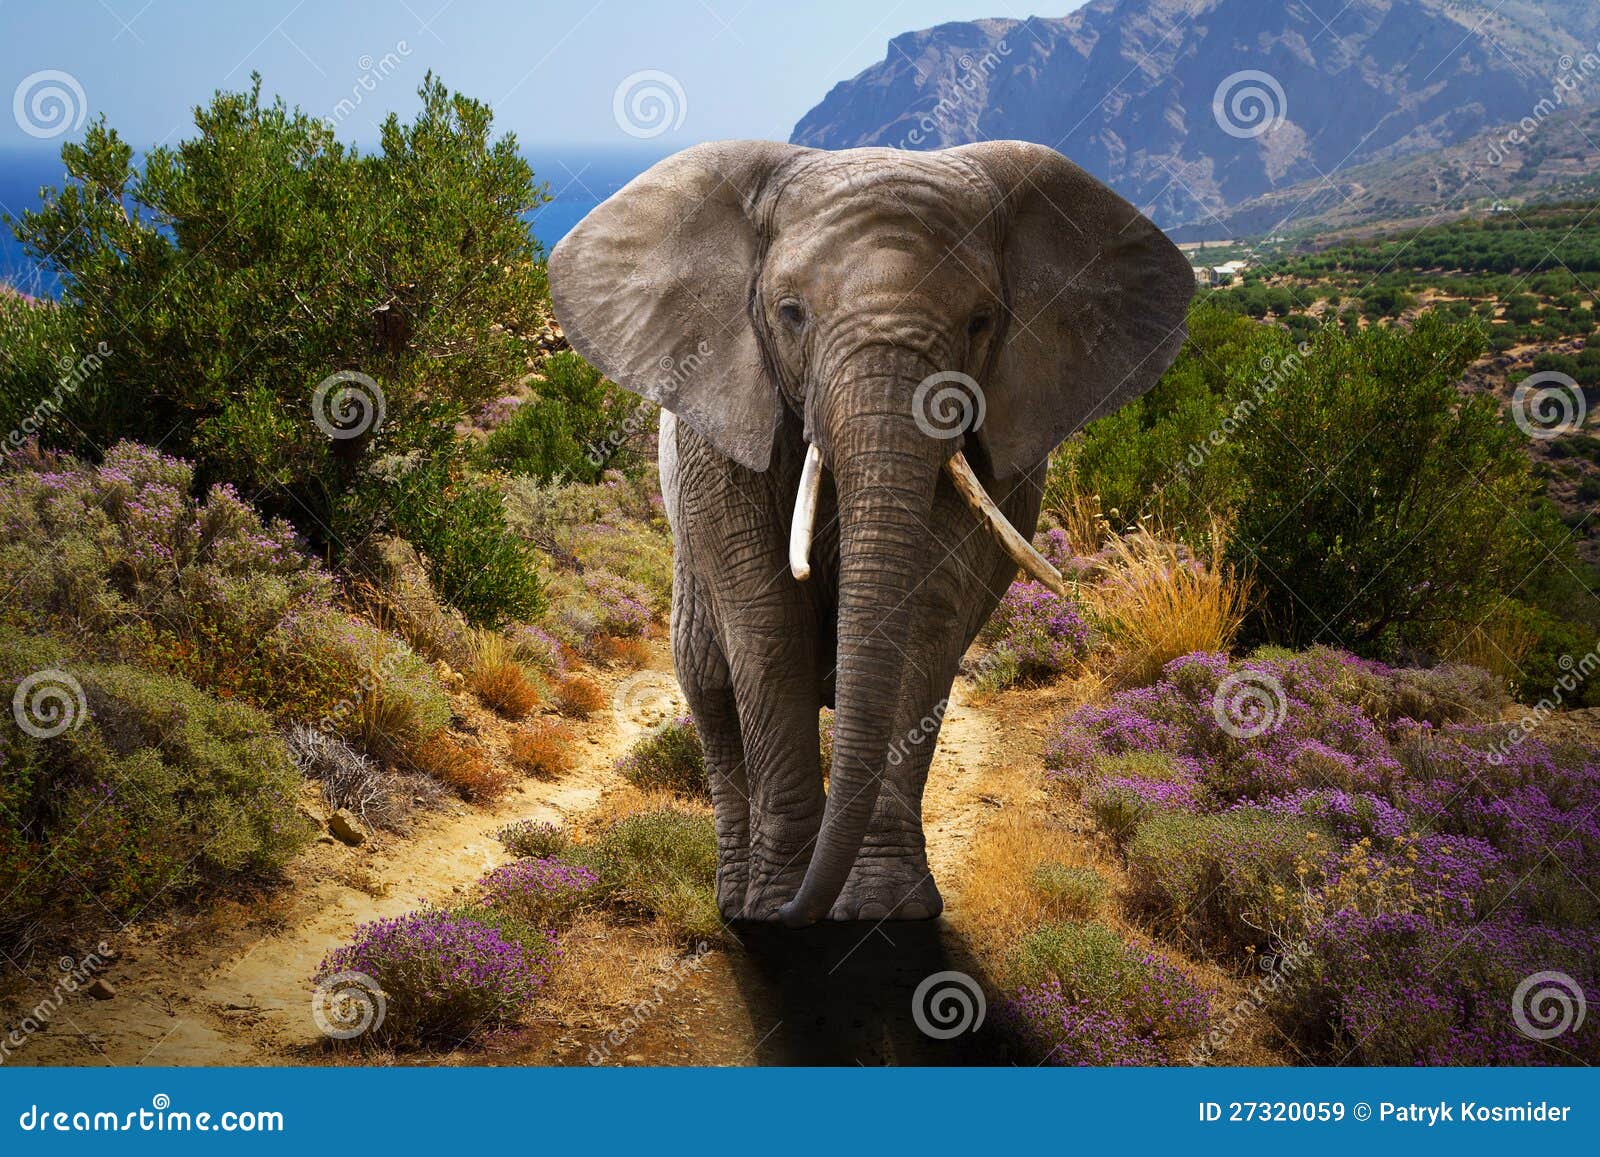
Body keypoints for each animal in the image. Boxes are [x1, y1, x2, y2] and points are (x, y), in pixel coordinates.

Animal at [549, 140, 1192, 926]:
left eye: (981, 322)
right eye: (790, 313)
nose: (798, 912)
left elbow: (926, 617)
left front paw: (886, 909)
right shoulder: (721, 429)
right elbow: (766, 624)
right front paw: (775, 907)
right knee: (708, 683)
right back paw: (737, 900)